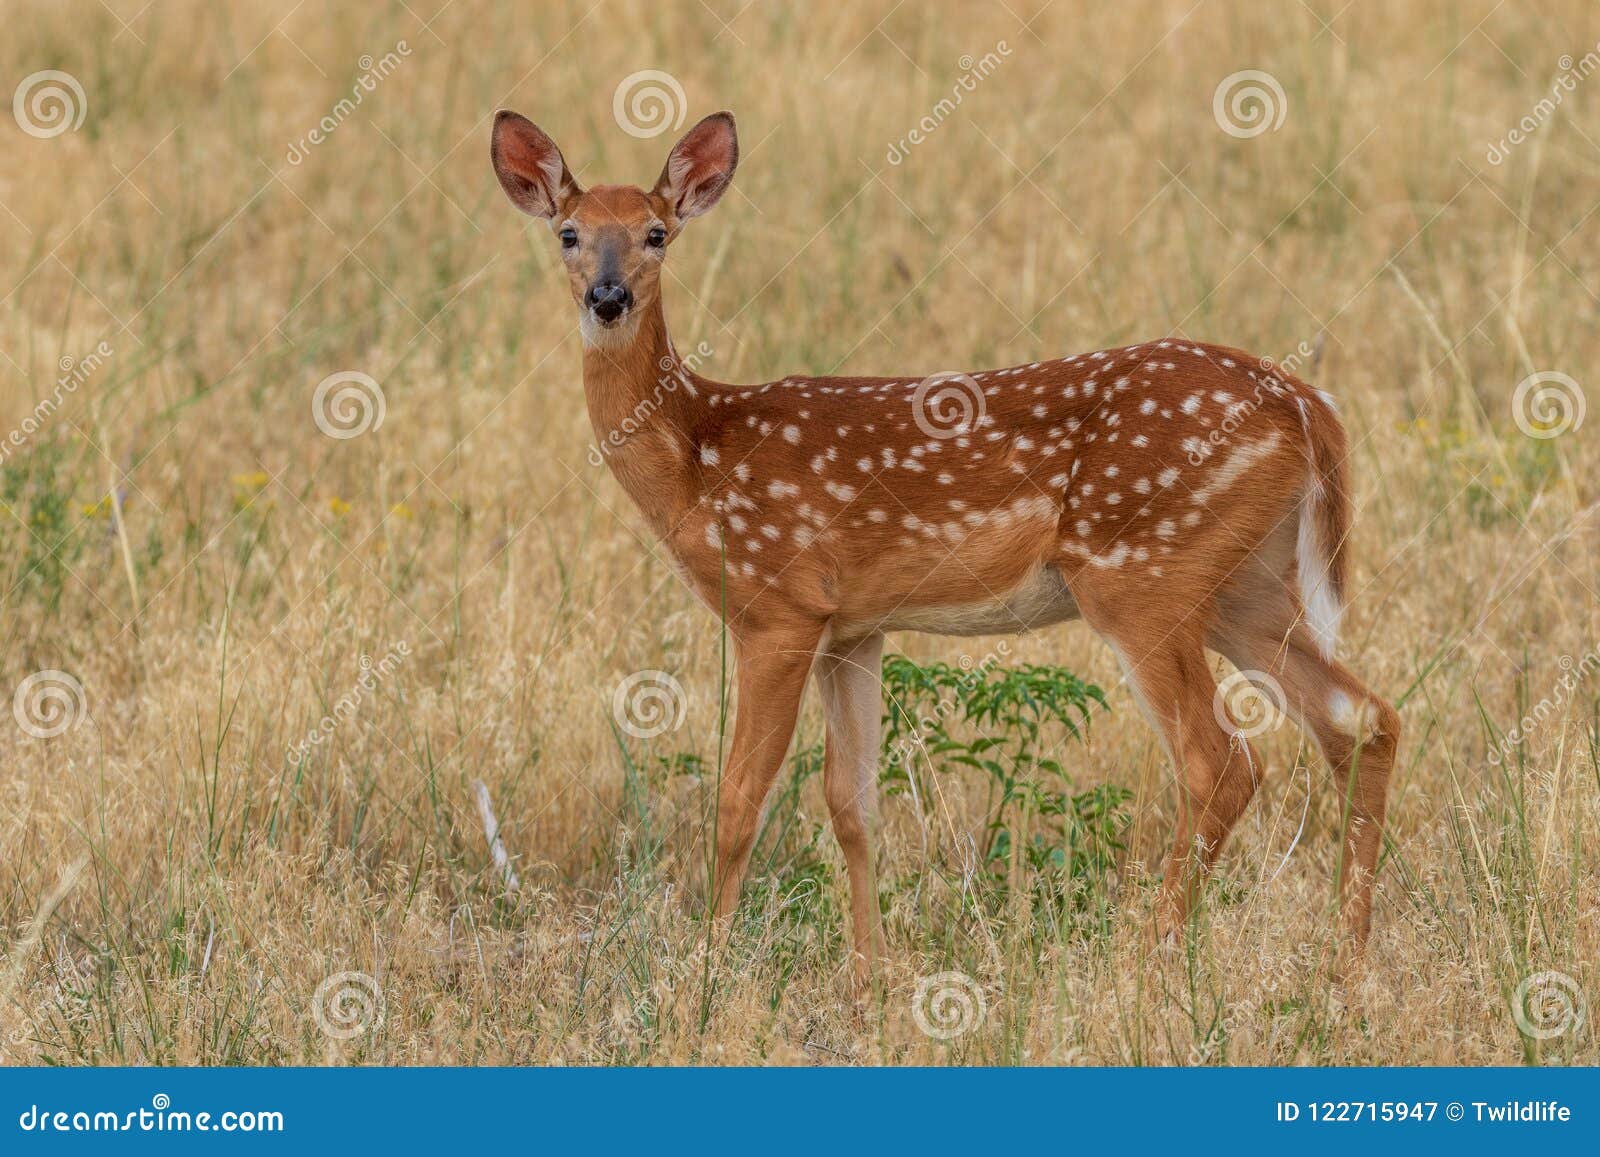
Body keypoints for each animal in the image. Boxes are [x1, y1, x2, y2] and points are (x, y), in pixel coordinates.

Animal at [490, 108, 1401, 989]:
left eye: (657, 232)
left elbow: (741, 796)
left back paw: (1154, 959)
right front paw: (869, 980)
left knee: (1222, 761)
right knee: (1362, 720)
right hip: (1248, 584)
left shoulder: (777, 604)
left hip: (1143, 574)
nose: (608, 297)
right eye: (569, 232)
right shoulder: (852, 627)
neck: (697, 460)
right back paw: (1344, 961)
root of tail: (1308, 404)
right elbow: (852, 802)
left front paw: (705, 978)